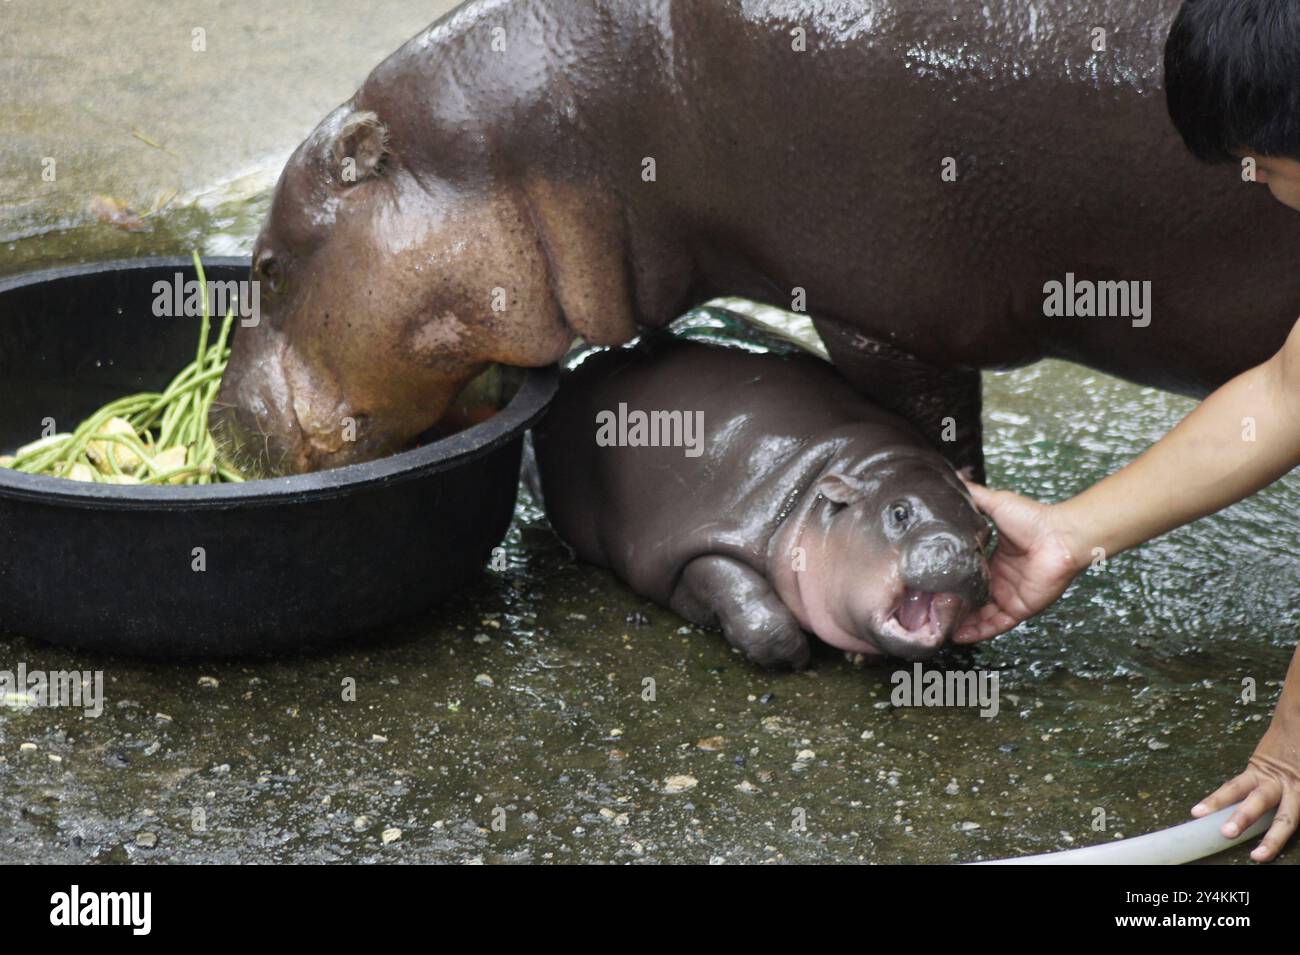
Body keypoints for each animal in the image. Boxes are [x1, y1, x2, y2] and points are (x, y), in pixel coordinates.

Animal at [531, 337, 991, 665]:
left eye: (986, 534)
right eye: (899, 512)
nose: (961, 551)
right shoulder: (709, 539)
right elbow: (745, 600)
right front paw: (794, 657)